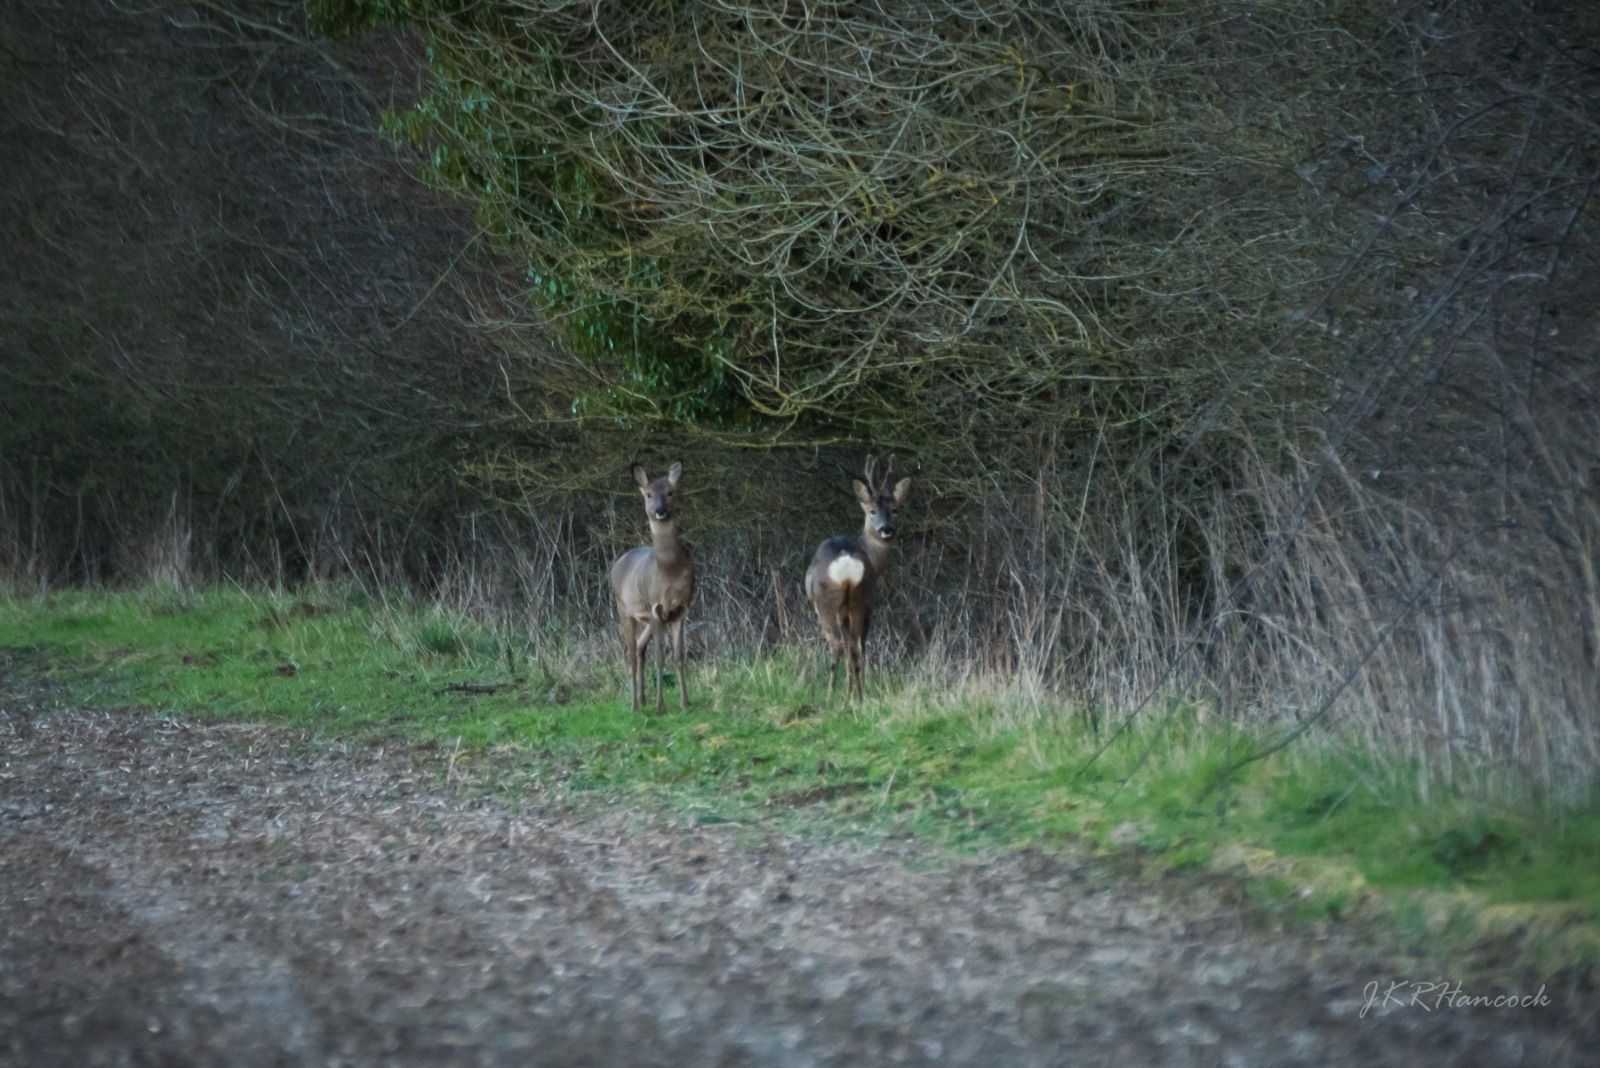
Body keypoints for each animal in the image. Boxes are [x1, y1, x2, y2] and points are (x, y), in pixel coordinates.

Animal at [609, 461, 697, 713]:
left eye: (670, 492)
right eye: (648, 494)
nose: (660, 510)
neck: (668, 571)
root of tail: (616, 565)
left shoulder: (682, 608)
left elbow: (678, 656)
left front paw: (685, 703)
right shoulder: (655, 606)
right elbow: (660, 657)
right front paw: (661, 706)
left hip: (646, 618)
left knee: (639, 647)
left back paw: (641, 699)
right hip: (624, 608)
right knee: (631, 653)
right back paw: (634, 705)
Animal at [803, 455, 911, 701]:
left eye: (894, 510)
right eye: (872, 511)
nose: (886, 529)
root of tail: (846, 563)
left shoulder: (865, 605)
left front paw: (848, 691)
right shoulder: (855, 607)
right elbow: (856, 646)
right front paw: (851, 690)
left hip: (830, 601)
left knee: (841, 646)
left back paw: (832, 693)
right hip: (856, 598)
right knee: (852, 646)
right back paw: (855, 695)